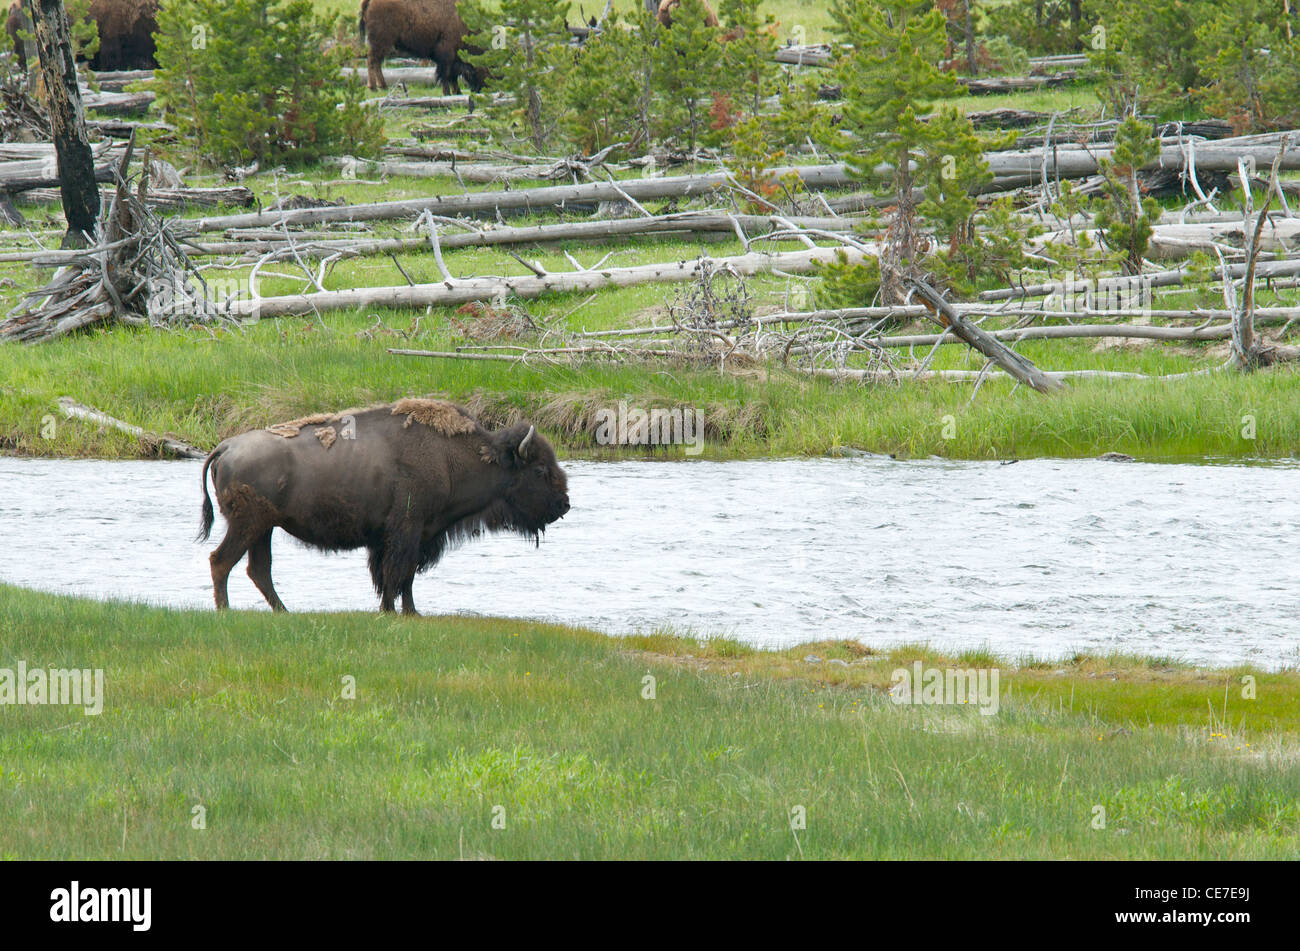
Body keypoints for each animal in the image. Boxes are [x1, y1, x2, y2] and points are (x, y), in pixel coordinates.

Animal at [199, 399, 569, 614]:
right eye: (540, 470)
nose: (564, 504)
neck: (452, 459)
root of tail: (225, 446)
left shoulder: (396, 538)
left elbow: (395, 576)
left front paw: (400, 610)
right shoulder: (409, 532)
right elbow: (400, 574)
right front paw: (401, 612)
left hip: (264, 529)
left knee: (258, 570)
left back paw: (283, 611)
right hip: (247, 526)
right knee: (221, 561)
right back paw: (226, 611)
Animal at [359, 0, 487, 94]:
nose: (481, 88)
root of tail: (370, 2)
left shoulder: (451, 59)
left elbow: (452, 76)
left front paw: (457, 93)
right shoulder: (446, 55)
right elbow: (446, 76)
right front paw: (447, 94)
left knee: (376, 62)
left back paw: (383, 86)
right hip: (381, 42)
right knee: (372, 61)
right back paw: (374, 87)